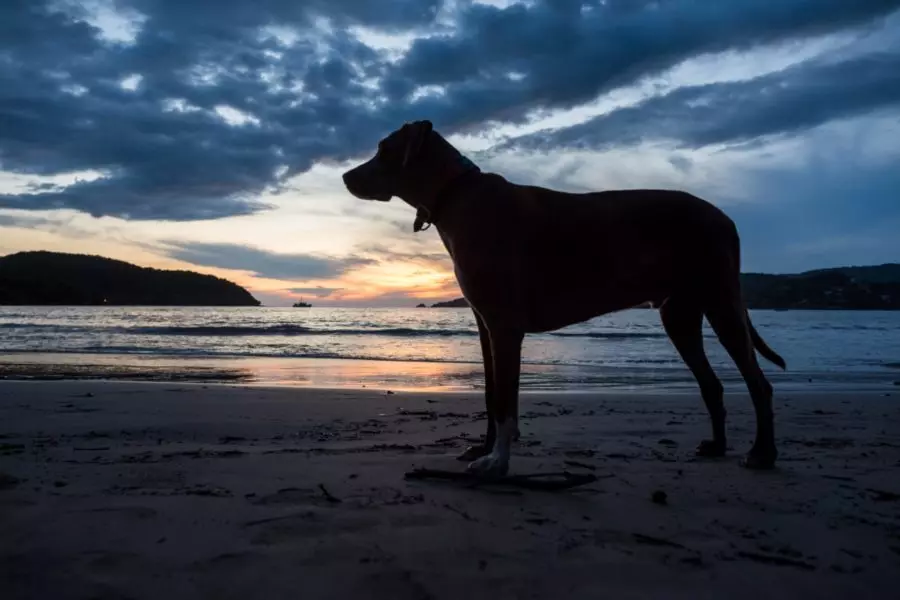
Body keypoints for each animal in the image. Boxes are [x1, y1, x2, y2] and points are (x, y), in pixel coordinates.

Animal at [344, 120, 788, 478]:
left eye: (384, 149)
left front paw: (498, 461)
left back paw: (762, 453)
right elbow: (491, 393)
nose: (346, 177)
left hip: (721, 301)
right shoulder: (486, 324)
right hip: (679, 314)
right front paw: (483, 449)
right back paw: (717, 446)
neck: (457, 194)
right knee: (712, 384)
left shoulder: (505, 326)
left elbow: (505, 399)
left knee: (758, 383)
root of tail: (726, 218)